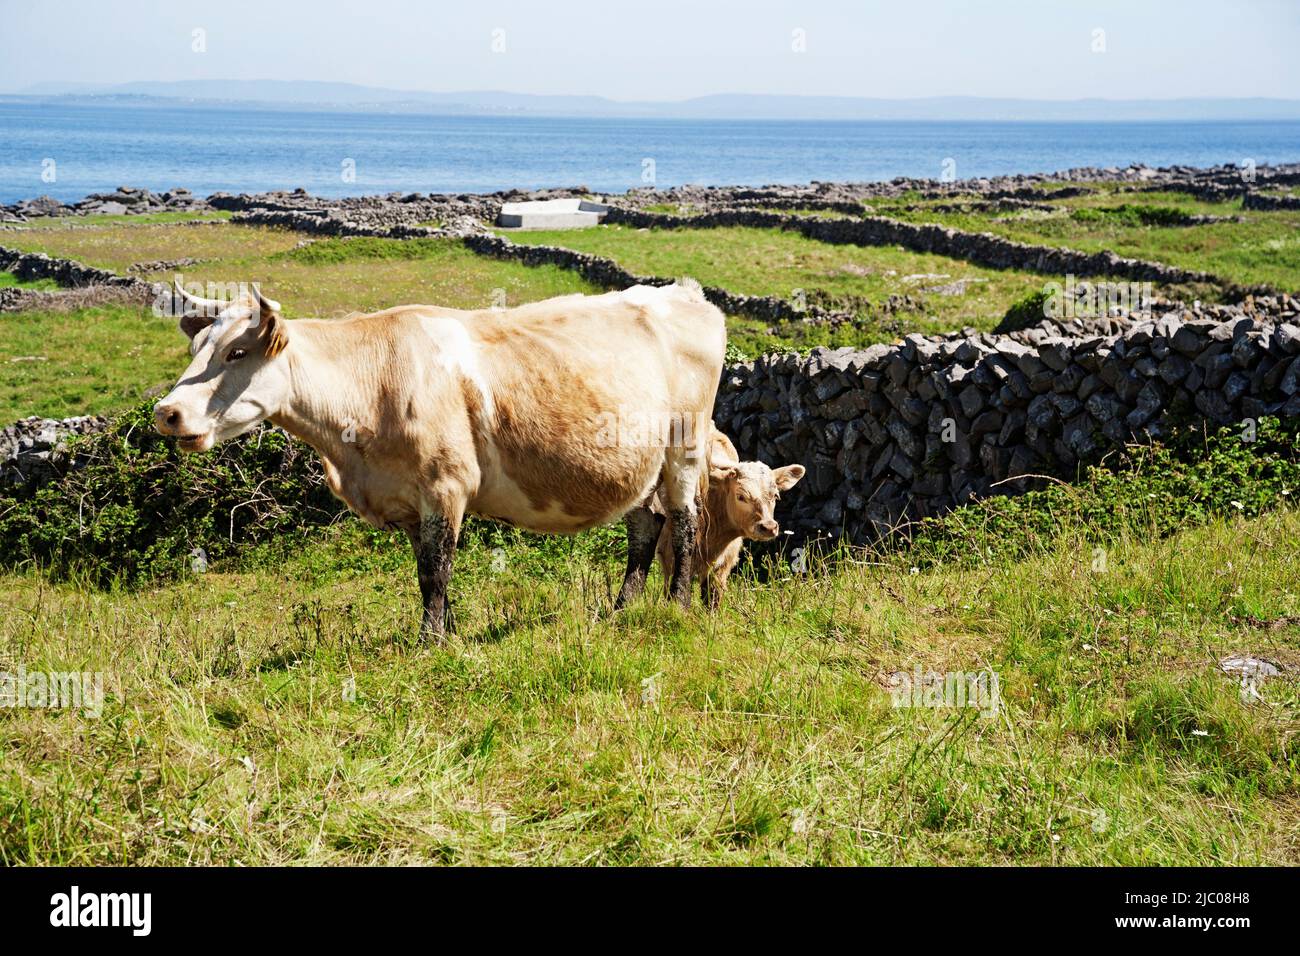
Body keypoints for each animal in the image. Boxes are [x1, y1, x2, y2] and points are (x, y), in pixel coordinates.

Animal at [153, 280, 726, 639]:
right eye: (197, 348)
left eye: (237, 352)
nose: (167, 413)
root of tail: (683, 294)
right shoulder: (410, 499)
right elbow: (426, 571)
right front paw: (446, 631)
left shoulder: (446, 484)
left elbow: (436, 570)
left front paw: (429, 644)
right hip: (639, 465)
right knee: (644, 526)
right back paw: (620, 609)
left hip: (684, 446)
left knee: (683, 523)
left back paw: (676, 605)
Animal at [655, 425, 804, 608]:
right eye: (741, 496)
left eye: (775, 496)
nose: (769, 527)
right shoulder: (670, 556)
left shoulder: (724, 564)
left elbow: (713, 599)